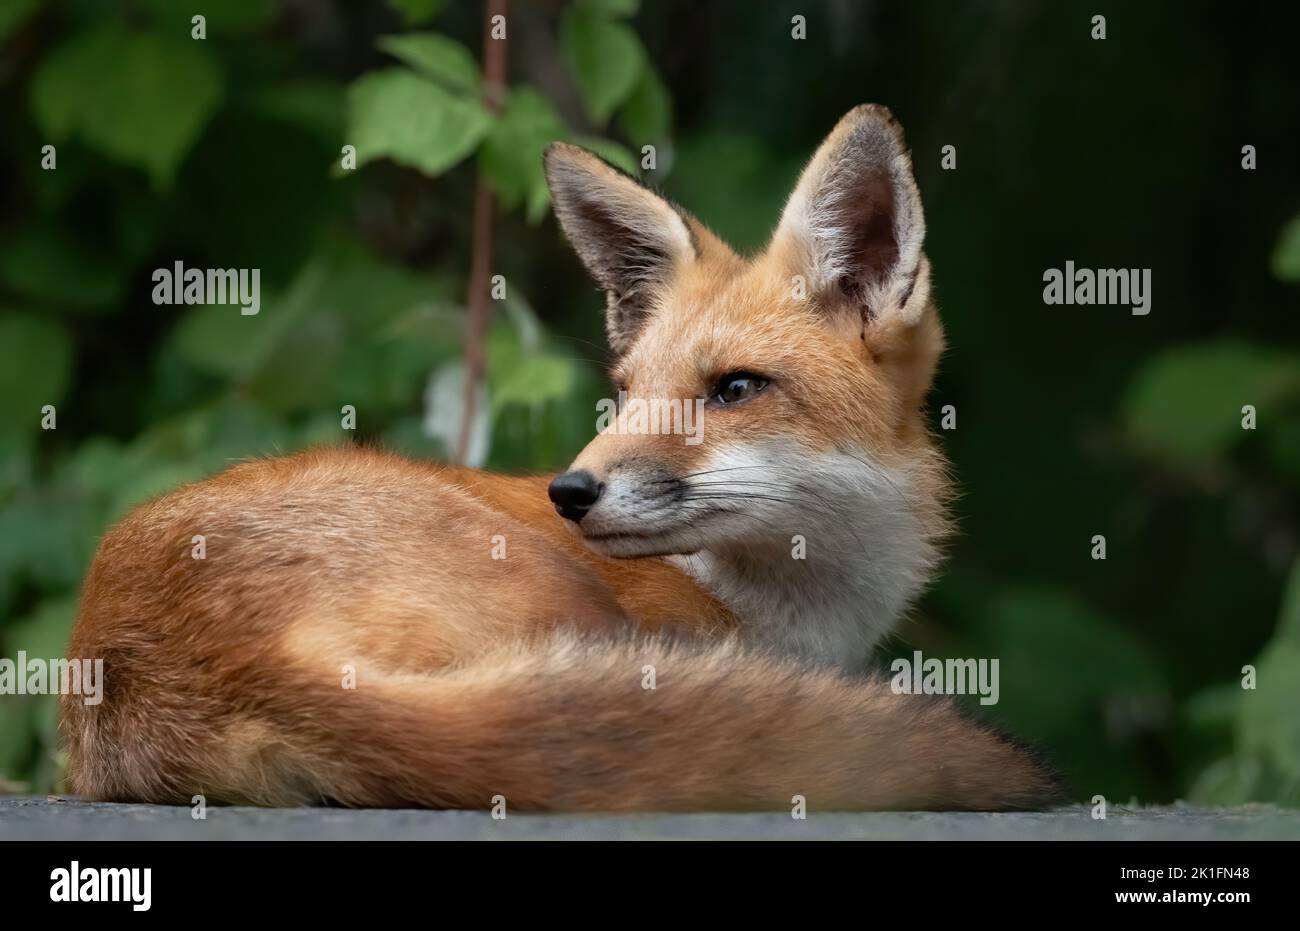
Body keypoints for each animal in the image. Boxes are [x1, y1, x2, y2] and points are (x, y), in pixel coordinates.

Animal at [61, 105, 1062, 812]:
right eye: (625, 389)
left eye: (734, 388)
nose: (569, 491)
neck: (782, 612)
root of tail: (215, 663)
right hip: (563, 600)